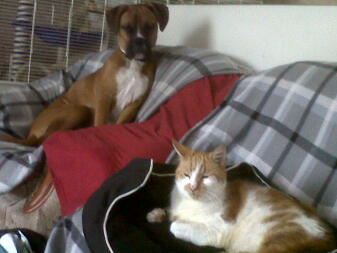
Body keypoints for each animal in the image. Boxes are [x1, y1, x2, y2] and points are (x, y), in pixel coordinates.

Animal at [2, 2, 168, 213]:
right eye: (127, 28)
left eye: (149, 27)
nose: (139, 42)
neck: (132, 65)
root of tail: (31, 133)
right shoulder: (103, 99)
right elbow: (100, 122)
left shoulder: (132, 105)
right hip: (78, 110)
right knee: (47, 139)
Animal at [147, 140, 336, 253]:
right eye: (187, 175)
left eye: (205, 177)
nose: (193, 187)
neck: (193, 203)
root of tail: (327, 234)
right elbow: (170, 212)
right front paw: (157, 213)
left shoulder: (221, 229)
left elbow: (175, 225)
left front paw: (175, 222)